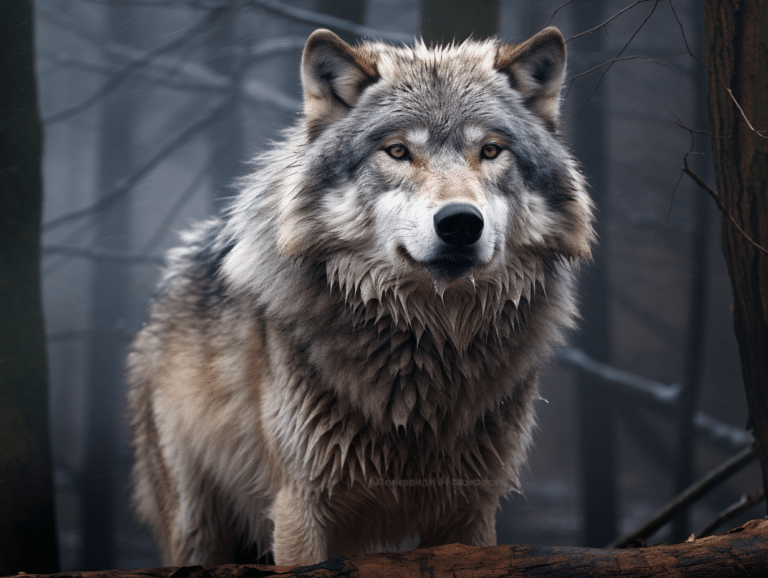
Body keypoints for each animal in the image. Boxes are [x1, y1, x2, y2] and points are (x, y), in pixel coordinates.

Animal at [128, 26, 594, 566]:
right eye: (397, 152)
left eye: (492, 150)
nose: (460, 222)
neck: (428, 352)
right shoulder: (298, 505)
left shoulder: (471, 508)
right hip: (198, 526)